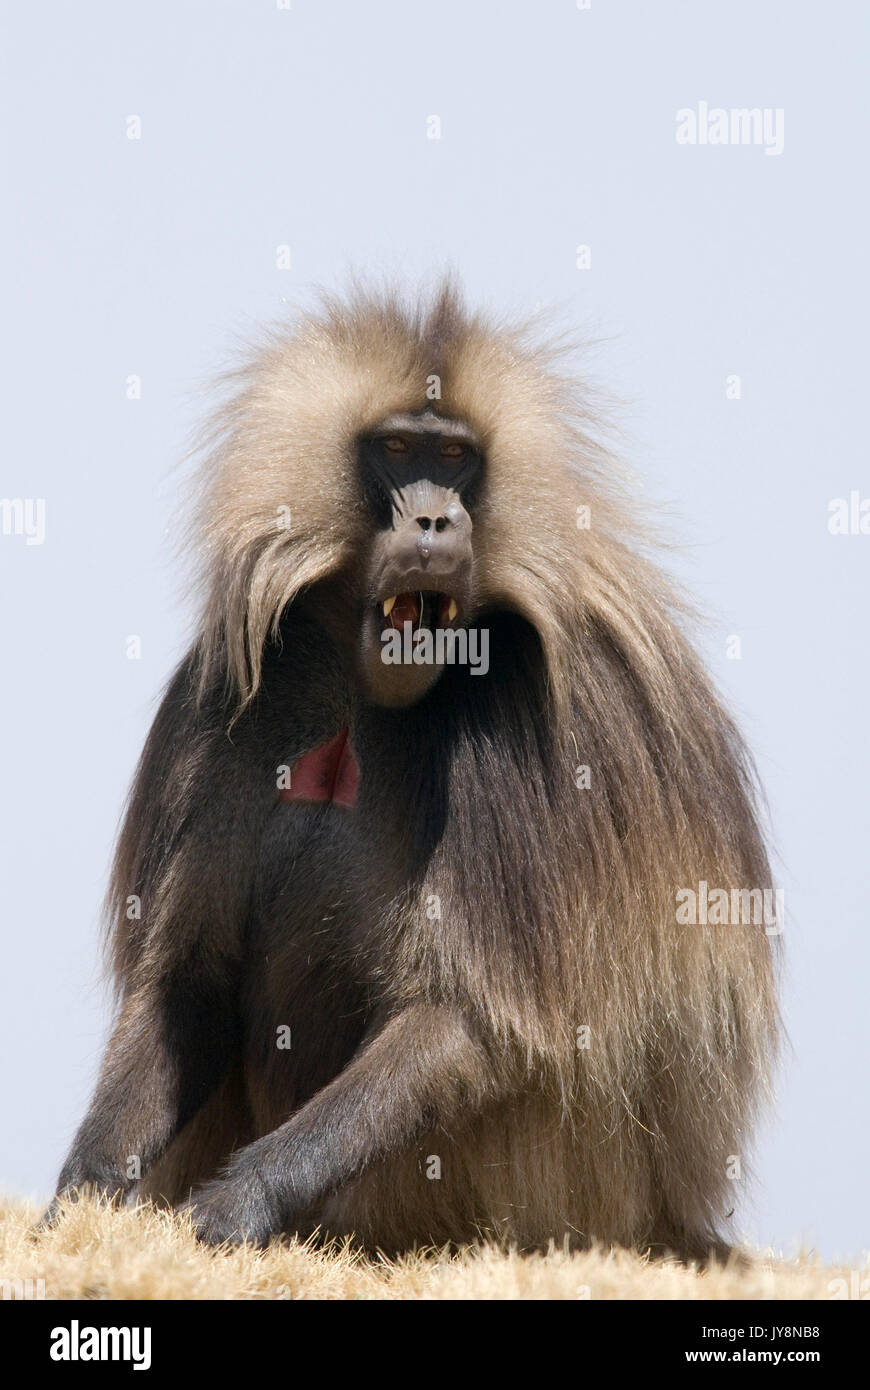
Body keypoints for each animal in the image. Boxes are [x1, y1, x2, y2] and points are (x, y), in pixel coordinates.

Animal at [49, 282, 779, 1259]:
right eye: (398, 450)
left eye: (458, 459)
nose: (433, 522)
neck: (364, 693)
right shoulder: (224, 700)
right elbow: (187, 984)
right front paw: (82, 1191)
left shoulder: (532, 730)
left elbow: (475, 1021)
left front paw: (239, 1201)